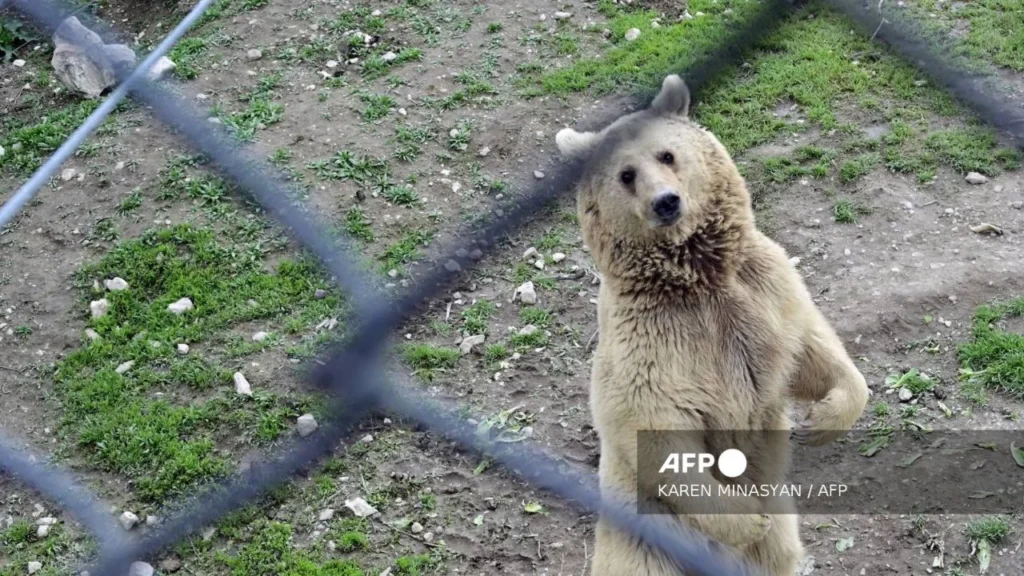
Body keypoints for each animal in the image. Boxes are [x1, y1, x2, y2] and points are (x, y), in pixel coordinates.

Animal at [555, 74, 870, 576]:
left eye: (667, 155)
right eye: (626, 175)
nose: (666, 202)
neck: (696, 277)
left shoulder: (765, 292)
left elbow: (812, 352)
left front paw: (822, 419)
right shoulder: (653, 341)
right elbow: (655, 427)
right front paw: (747, 518)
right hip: (645, 540)